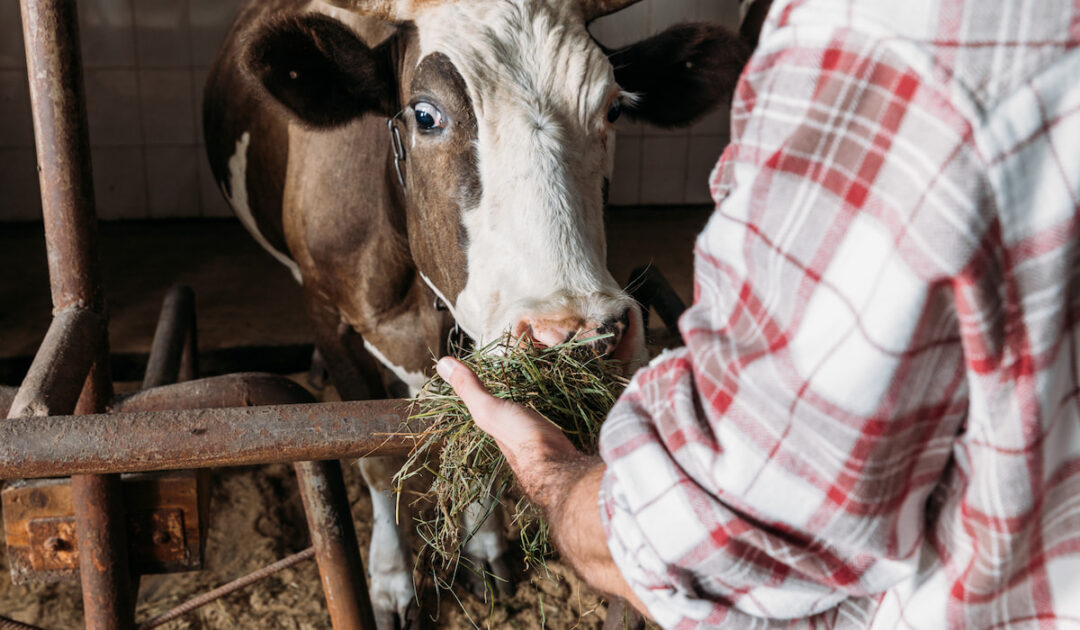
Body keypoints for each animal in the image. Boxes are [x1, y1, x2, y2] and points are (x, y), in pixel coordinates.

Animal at [203, 0, 748, 626]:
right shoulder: (328, 313)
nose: (580, 335)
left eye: (612, 106)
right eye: (425, 115)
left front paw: (485, 547)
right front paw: (390, 579)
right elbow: (370, 459)